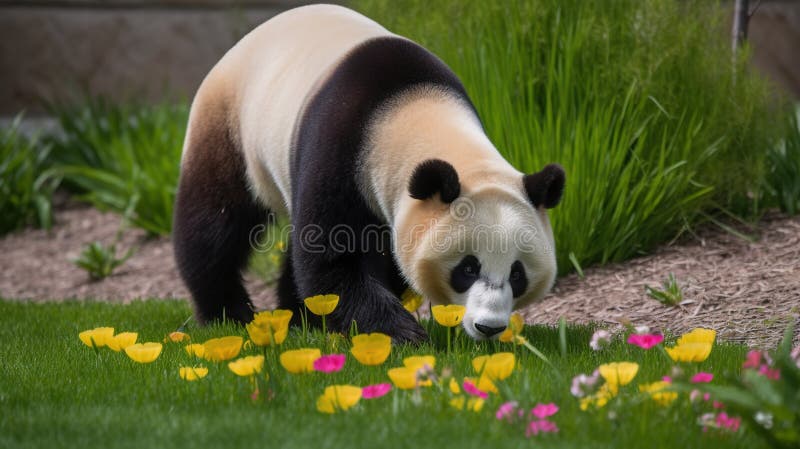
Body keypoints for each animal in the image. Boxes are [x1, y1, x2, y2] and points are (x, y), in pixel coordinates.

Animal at [173, 4, 565, 343]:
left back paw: (297, 315)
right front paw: (401, 334)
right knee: (215, 221)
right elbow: (332, 256)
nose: (489, 327)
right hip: (232, 129)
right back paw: (228, 314)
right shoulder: (339, 147)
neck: (408, 108)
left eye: (517, 273)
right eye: (467, 268)